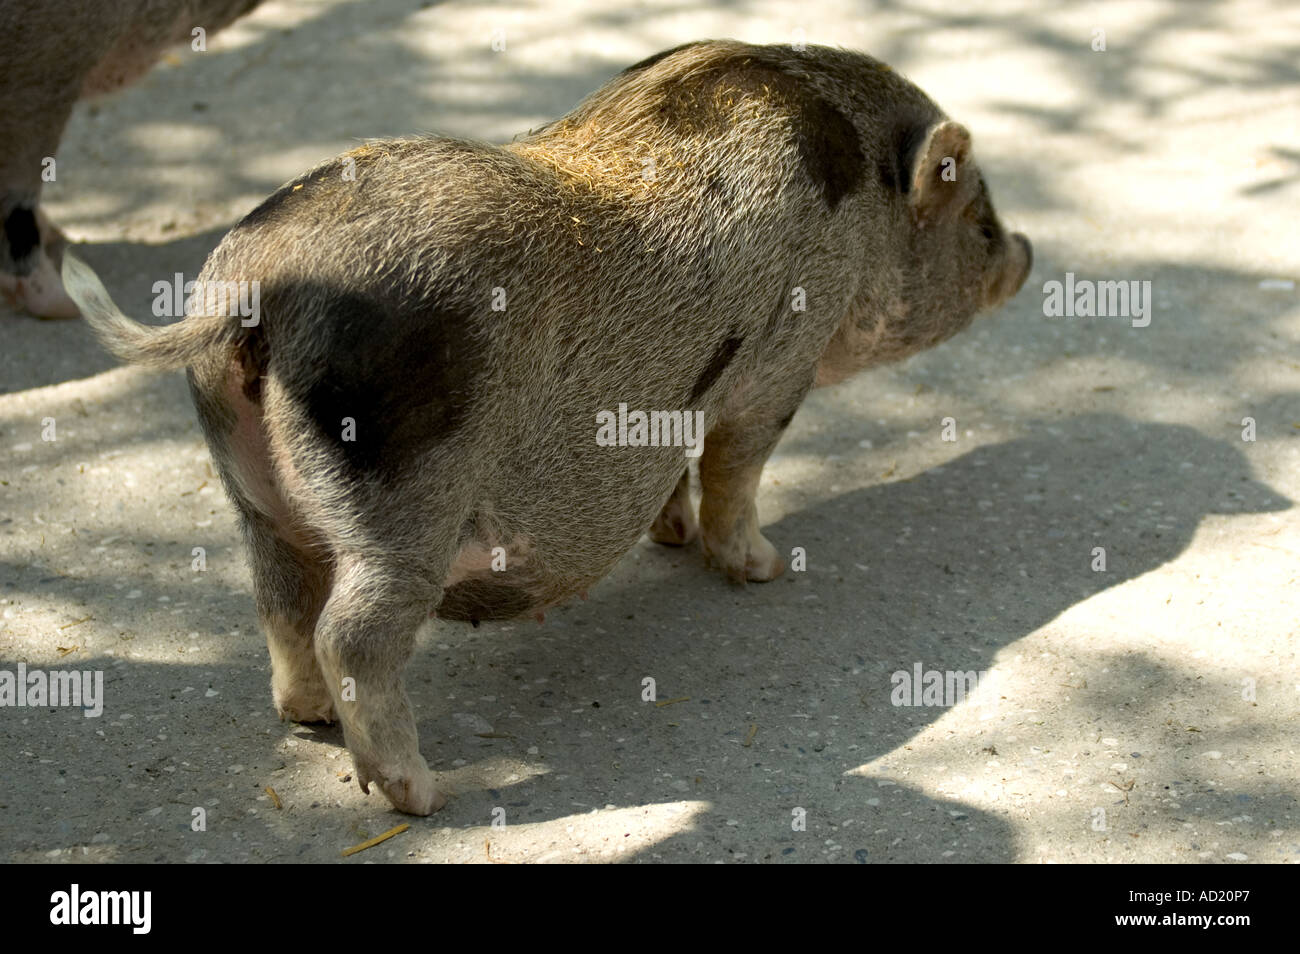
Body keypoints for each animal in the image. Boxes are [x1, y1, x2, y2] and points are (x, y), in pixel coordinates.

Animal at [63, 40, 1032, 814]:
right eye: (981, 224)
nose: (1028, 253)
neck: (865, 203)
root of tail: (258, 286)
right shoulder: (778, 368)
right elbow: (736, 466)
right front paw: (763, 569)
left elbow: (676, 469)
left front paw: (674, 537)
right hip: (402, 490)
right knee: (354, 628)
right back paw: (417, 794)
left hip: (247, 479)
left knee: (278, 594)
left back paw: (307, 717)